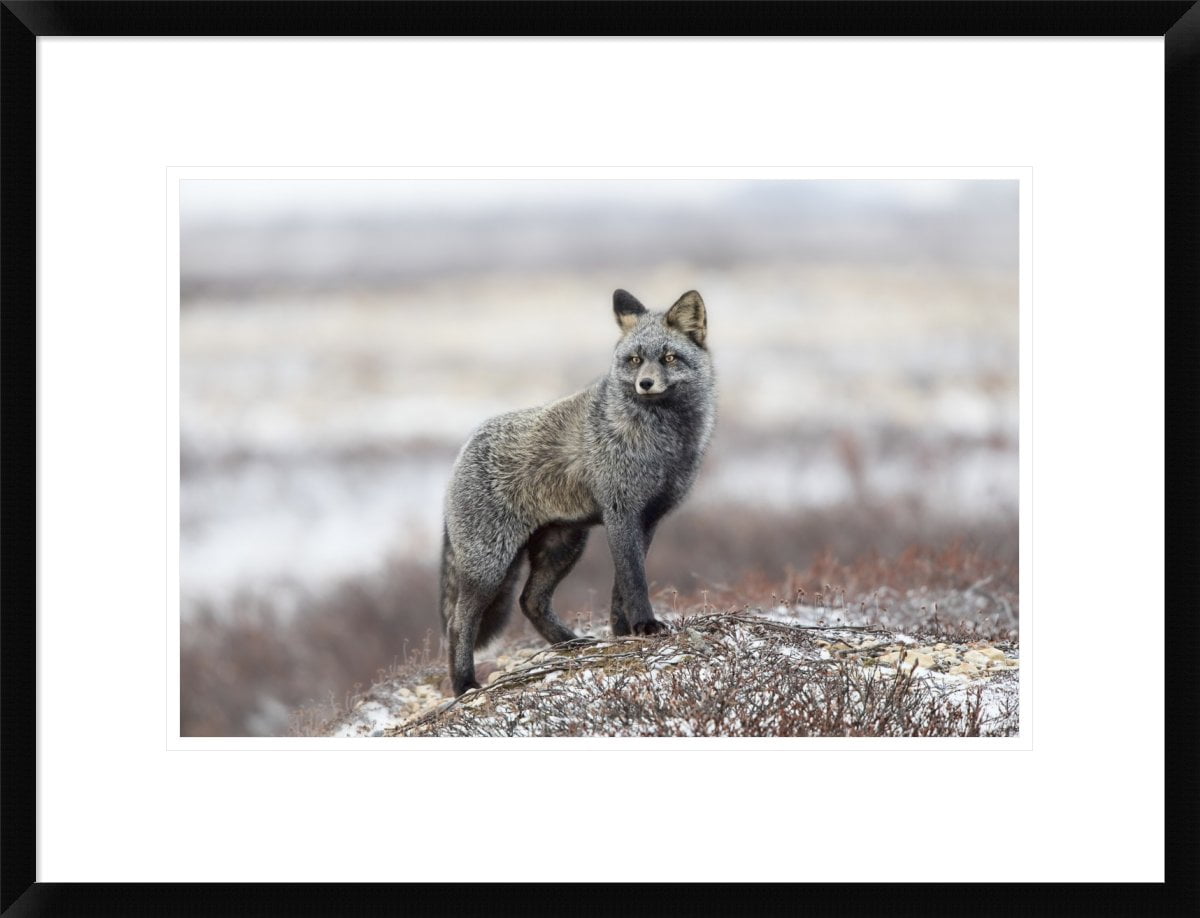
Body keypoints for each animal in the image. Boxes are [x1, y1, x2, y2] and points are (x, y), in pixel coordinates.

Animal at [439, 288, 716, 696]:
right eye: (635, 360)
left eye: (669, 357)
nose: (645, 384)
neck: (663, 444)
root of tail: (463, 450)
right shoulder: (621, 513)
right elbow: (635, 580)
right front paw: (645, 626)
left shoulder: (648, 518)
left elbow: (621, 587)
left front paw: (624, 632)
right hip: (491, 566)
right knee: (458, 624)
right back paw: (464, 685)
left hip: (563, 547)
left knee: (530, 601)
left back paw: (570, 644)